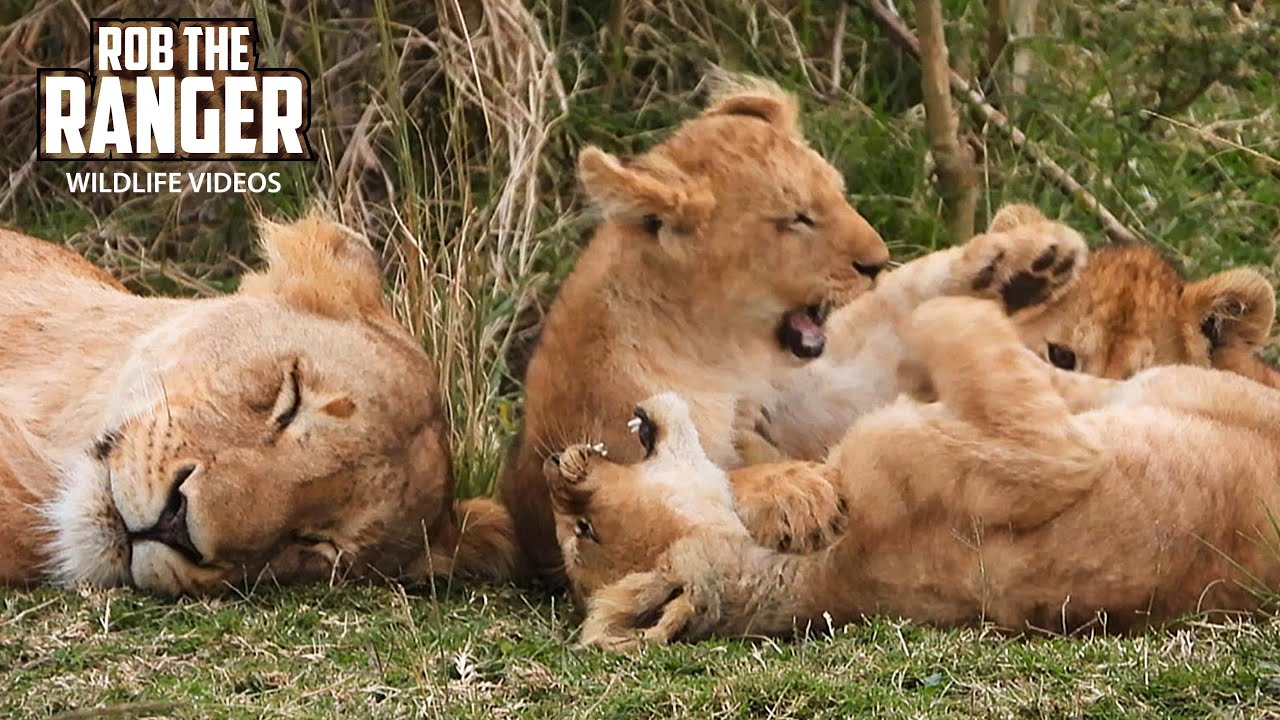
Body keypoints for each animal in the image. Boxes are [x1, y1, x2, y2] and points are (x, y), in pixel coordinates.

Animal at [498, 77, 893, 581]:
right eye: (797, 218)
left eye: (840, 195)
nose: (879, 262)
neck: (718, 356)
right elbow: (707, 482)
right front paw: (798, 489)